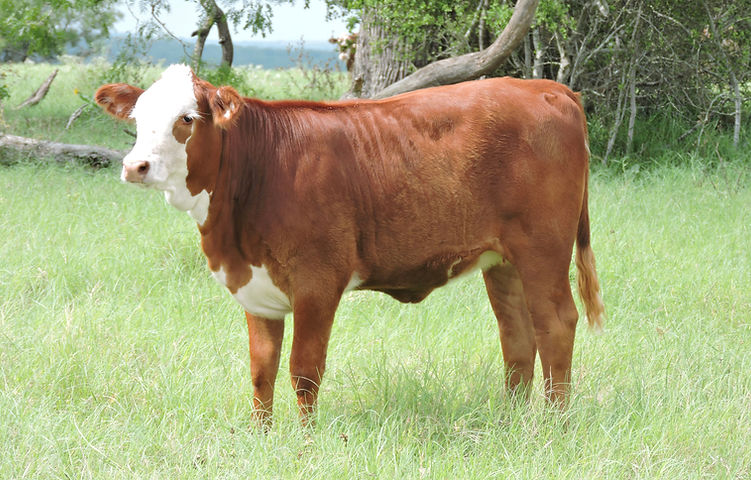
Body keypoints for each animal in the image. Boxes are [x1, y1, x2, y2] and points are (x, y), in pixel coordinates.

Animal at [95, 64, 604, 425]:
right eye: (138, 118)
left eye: (186, 118)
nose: (135, 166)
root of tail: (548, 88)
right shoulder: (257, 289)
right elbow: (262, 369)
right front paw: (261, 436)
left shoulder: (317, 281)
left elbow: (304, 370)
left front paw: (304, 442)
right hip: (503, 261)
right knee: (516, 335)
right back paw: (511, 421)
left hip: (543, 249)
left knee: (556, 324)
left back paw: (554, 425)